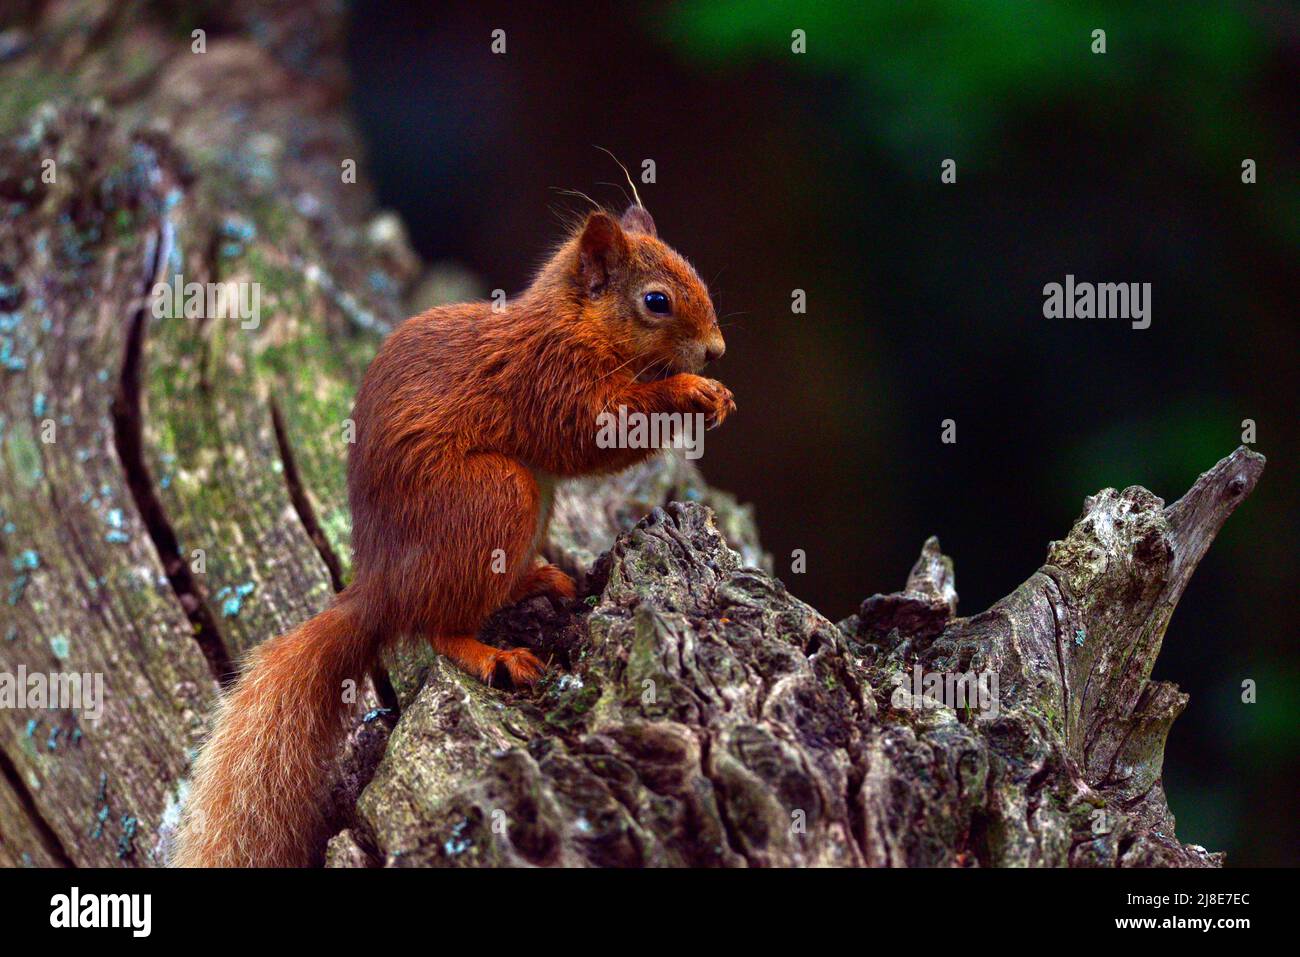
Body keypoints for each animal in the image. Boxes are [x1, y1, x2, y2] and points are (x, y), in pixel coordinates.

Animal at [173, 203, 733, 866]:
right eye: (656, 301)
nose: (716, 351)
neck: (573, 325)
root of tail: (382, 589)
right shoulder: (549, 383)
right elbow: (597, 432)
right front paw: (690, 392)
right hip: (496, 495)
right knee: (439, 629)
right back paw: (495, 655)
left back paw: (536, 581)